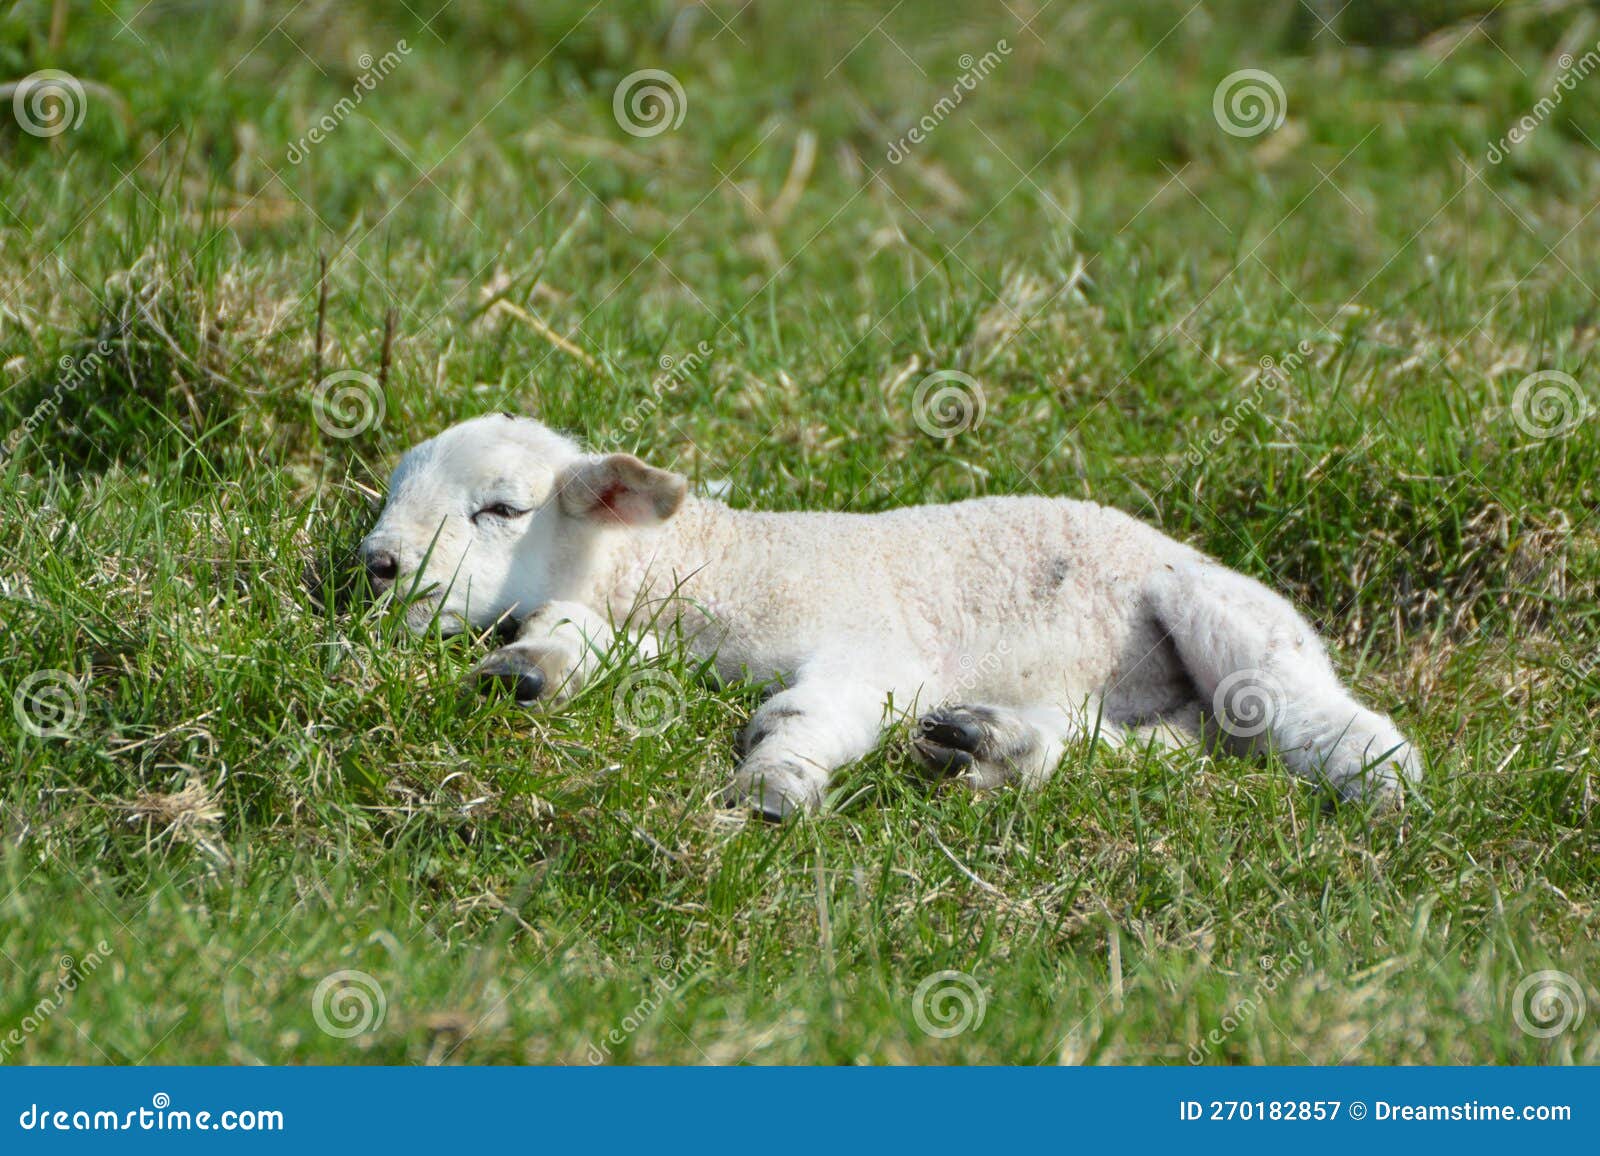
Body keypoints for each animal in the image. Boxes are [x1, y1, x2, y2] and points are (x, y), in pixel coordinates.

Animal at [360, 413, 1420, 820]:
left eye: (501, 508)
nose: (377, 566)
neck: (720, 564)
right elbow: (580, 642)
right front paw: (528, 669)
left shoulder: (873, 650)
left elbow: (804, 714)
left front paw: (773, 787)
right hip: (1149, 704)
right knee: (1153, 747)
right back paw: (993, 744)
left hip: (1218, 614)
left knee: (1325, 728)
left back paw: (1380, 788)